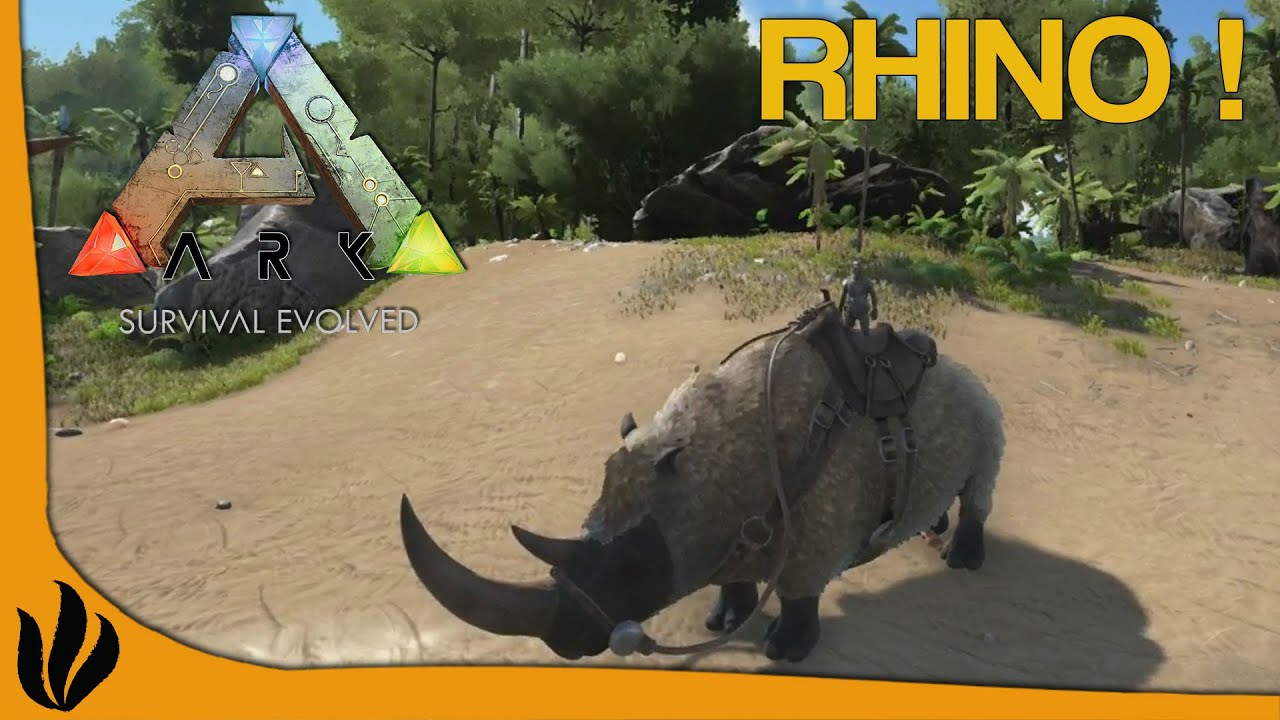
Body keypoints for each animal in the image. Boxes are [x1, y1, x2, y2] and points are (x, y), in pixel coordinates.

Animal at [399, 308, 1004, 663]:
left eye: (631, 569)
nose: (562, 642)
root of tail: (961, 366)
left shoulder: (816, 531)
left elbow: (799, 590)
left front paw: (784, 651)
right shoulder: (725, 528)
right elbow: (733, 577)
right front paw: (724, 621)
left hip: (982, 410)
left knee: (981, 477)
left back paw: (960, 559)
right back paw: (927, 530)